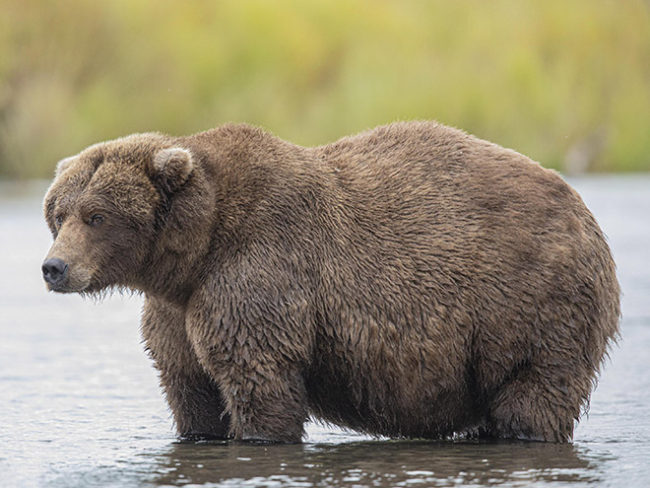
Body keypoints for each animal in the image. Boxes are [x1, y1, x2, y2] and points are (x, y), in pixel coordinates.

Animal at [42, 121, 620, 443]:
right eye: (59, 212)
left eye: (96, 215)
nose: (54, 268)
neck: (193, 255)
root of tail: (584, 210)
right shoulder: (175, 310)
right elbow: (190, 387)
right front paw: (202, 430)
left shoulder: (258, 273)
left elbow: (259, 378)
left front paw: (260, 434)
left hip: (530, 300)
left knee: (533, 390)